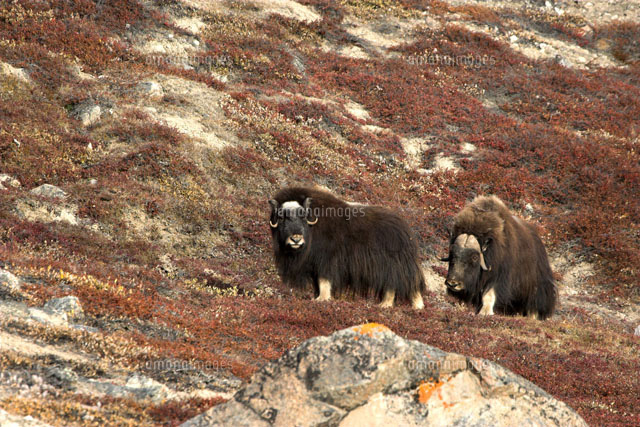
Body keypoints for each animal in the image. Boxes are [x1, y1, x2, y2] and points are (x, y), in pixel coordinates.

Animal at [268, 186, 425, 309]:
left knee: (405, 284)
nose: (296, 239)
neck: (312, 227)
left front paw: (322, 299)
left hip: (395, 265)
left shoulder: (327, 260)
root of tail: (407, 231)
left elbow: (324, 280)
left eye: (302, 217)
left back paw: (408, 307)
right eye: (282, 217)